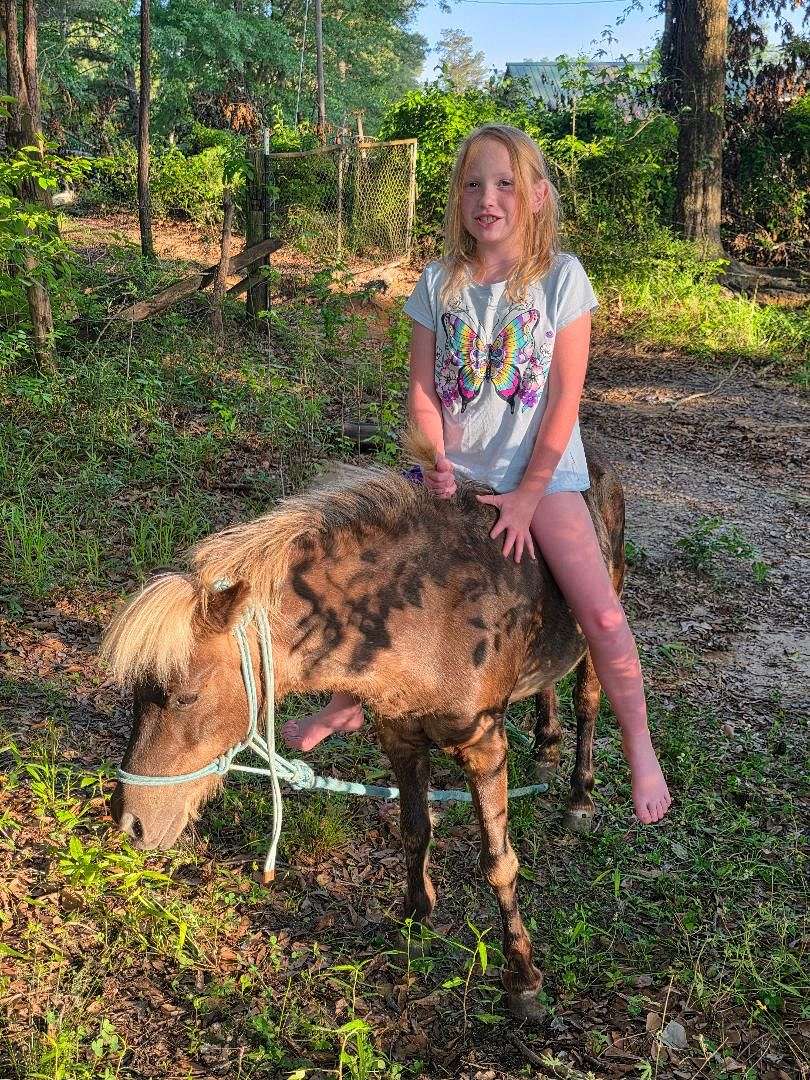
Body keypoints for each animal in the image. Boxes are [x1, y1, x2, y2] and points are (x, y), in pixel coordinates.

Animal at [102, 432, 625, 1020]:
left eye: (184, 696)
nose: (129, 822)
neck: (432, 613)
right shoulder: (400, 738)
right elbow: (415, 828)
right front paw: (415, 917)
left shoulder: (483, 749)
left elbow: (498, 863)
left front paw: (523, 978)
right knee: (546, 687)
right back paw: (546, 750)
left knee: (586, 701)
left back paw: (579, 796)